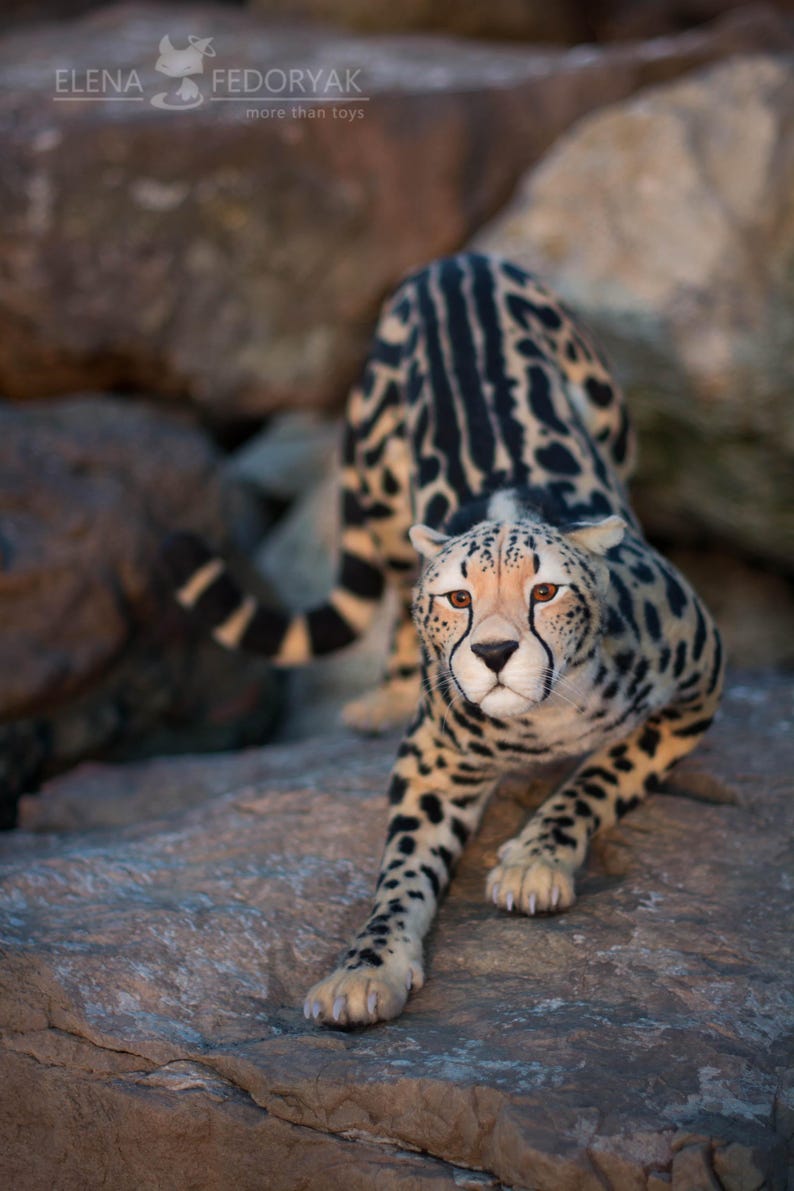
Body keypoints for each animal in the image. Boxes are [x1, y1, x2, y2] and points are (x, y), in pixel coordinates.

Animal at [164, 252, 724, 1027]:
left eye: (544, 591)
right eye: (458, 599)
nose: (492, 654)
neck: (548, 715)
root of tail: (456, 260)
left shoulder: (700, 676)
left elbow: (605, 772)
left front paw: (534, 860)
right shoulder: (435, 757)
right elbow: (402, 870)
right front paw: (365, 968)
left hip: (608, 413)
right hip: (379, 488)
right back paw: (384, 696)